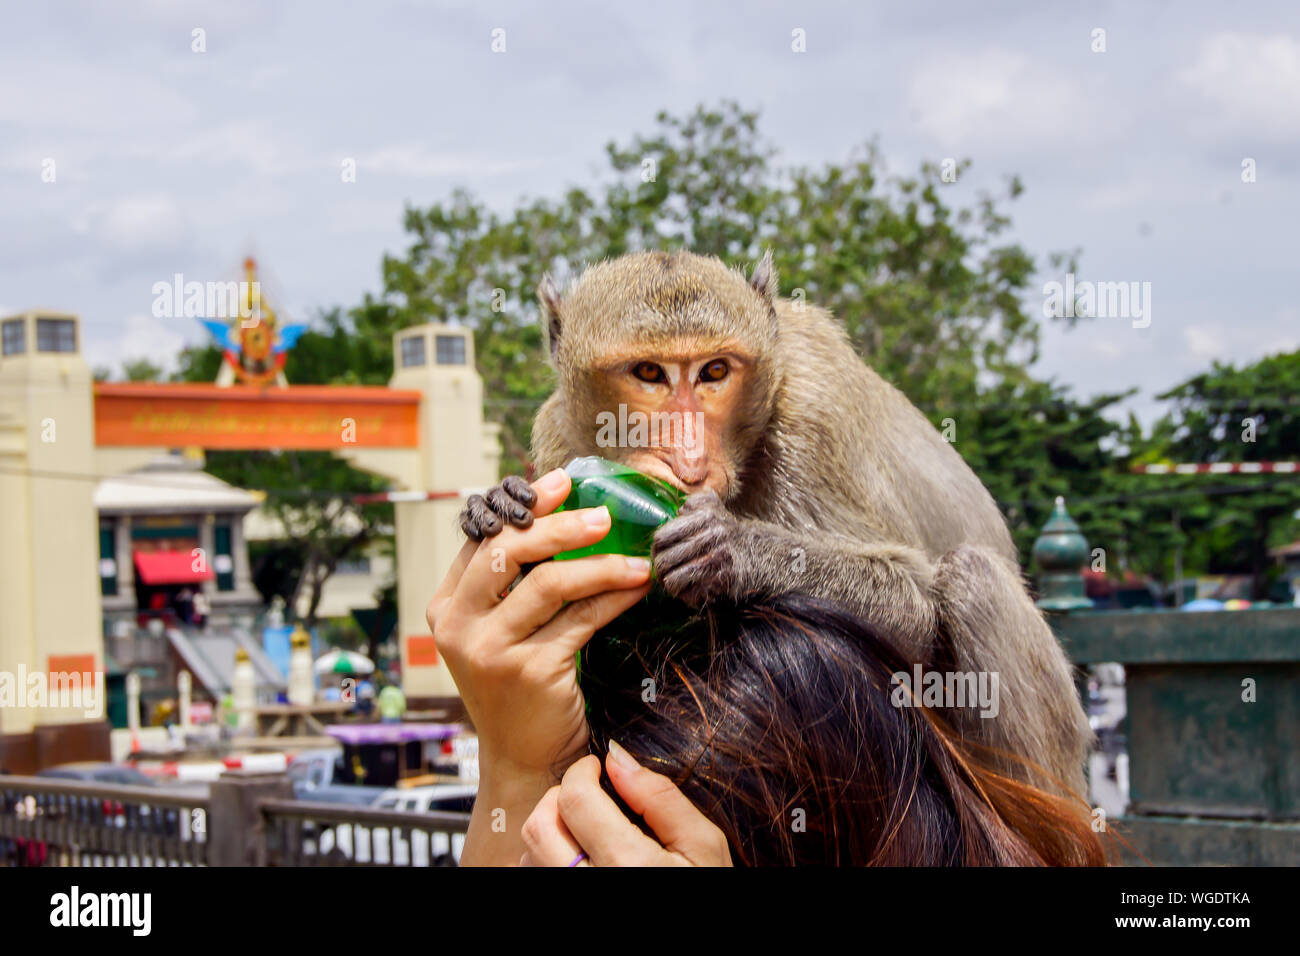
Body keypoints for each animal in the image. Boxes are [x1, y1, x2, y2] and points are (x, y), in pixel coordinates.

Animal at [460, 249, 1093, 800]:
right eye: (649, 372)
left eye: (714, 371)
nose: (690, 459)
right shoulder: (558, 434)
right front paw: (496, 504)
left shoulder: (814, 413)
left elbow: (915, 607)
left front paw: (733, 551)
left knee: (972, 575)